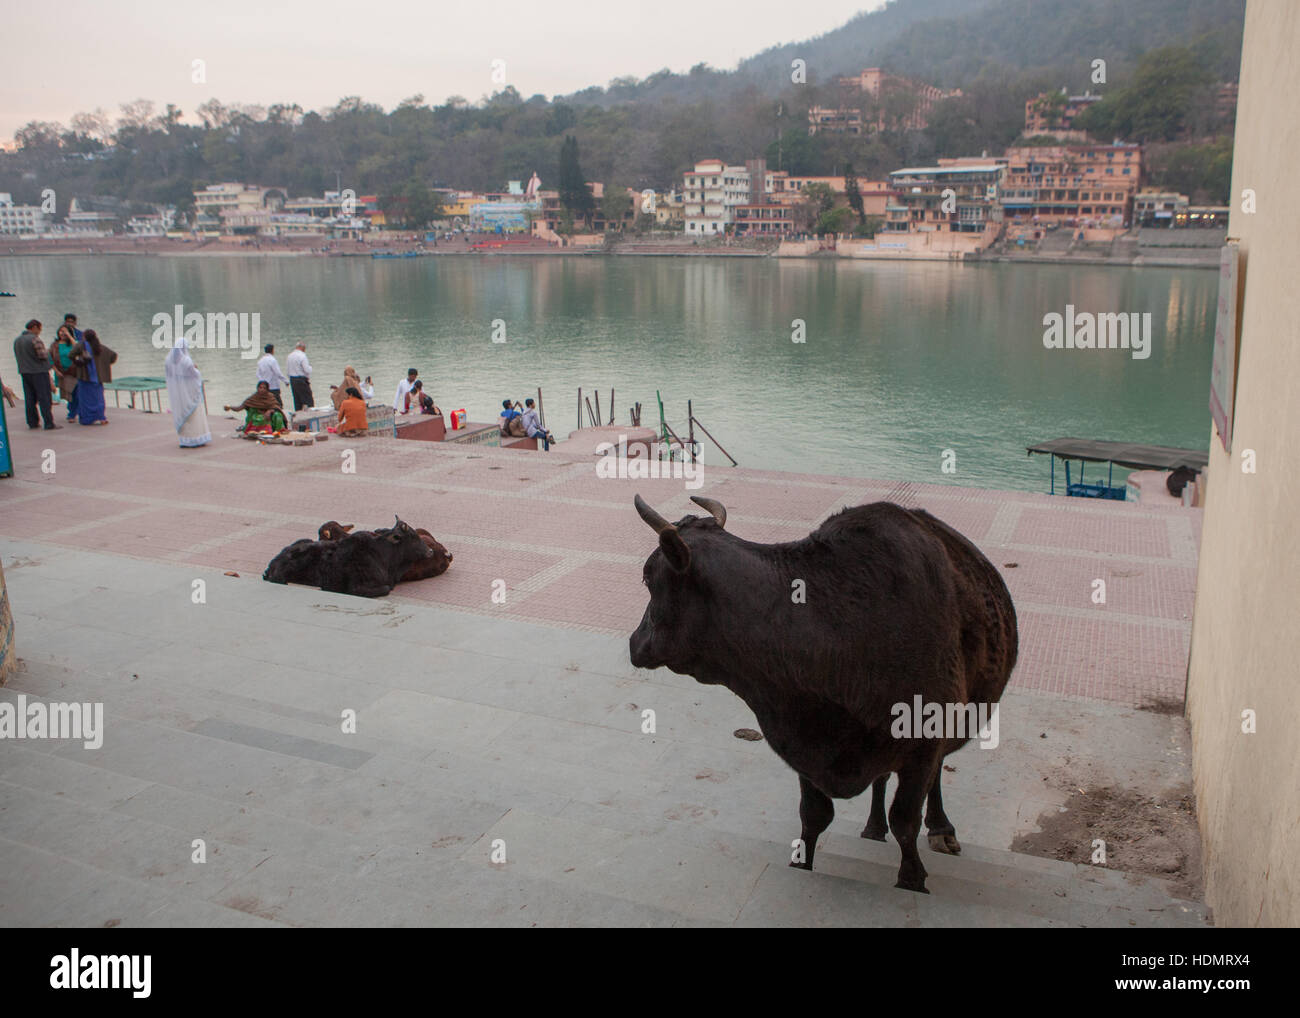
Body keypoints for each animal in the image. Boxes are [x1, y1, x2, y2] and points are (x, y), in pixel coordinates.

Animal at [629, 494, 1018, 894]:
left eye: (647, 577)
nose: (634, 642)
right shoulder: (800, 737)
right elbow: (814, 815)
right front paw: (801, 864)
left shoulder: (926, 735)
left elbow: (906, 819)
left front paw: (912, 879)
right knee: (881, 780)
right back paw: (873, 826)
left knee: (933, 778)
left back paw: (941, 828)